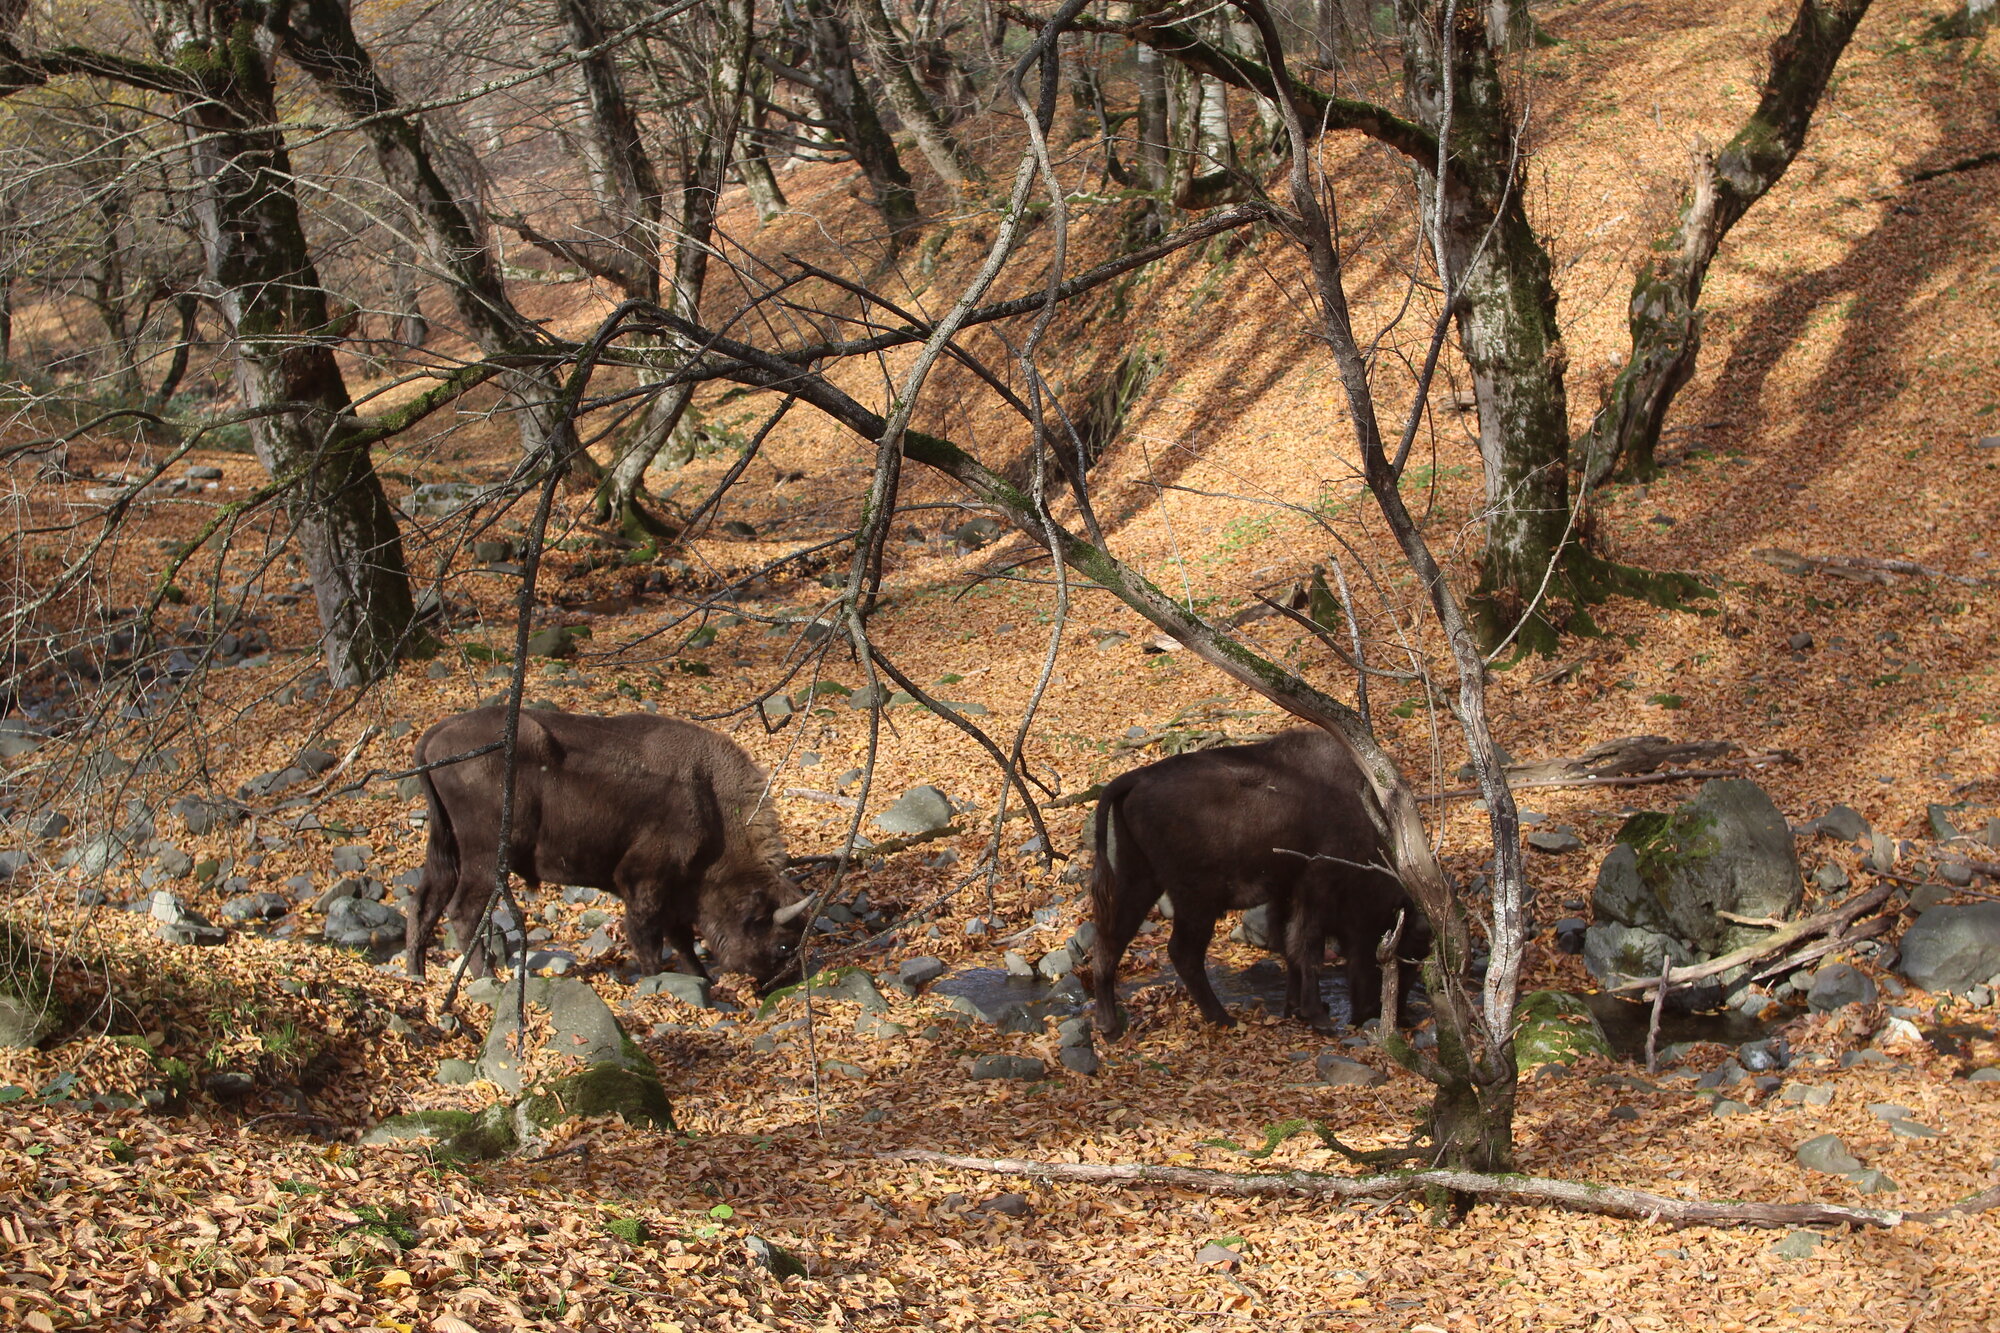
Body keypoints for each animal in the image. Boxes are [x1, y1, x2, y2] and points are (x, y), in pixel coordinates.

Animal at [407, 707, 810, 988]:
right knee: (463, 910)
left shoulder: (674, 890)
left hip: (445, 848)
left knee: (426, 902)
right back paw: (485, 977)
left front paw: (701, 977)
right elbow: (650, 937)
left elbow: (680, 938)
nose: (782, 984)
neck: (709, 798)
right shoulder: (643, 881)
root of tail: (435, 736)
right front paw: (656, 979)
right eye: (784, 945)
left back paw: (416, 972)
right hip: (486, 855)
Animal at [1090, 728, 1432, 1037]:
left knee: (1112, 940)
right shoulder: (1315, 888)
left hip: (1140, 878)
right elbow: (1306, 948)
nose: (1398, 1017)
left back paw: (1109, 1026)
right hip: (1195, 899)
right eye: (1400, 960)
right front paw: (1317, 1016)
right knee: (1182, 951)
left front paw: (1295, 1009)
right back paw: (1223, 1018)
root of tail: (1136, 779)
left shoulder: (1286, 891)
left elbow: (1289, 947)